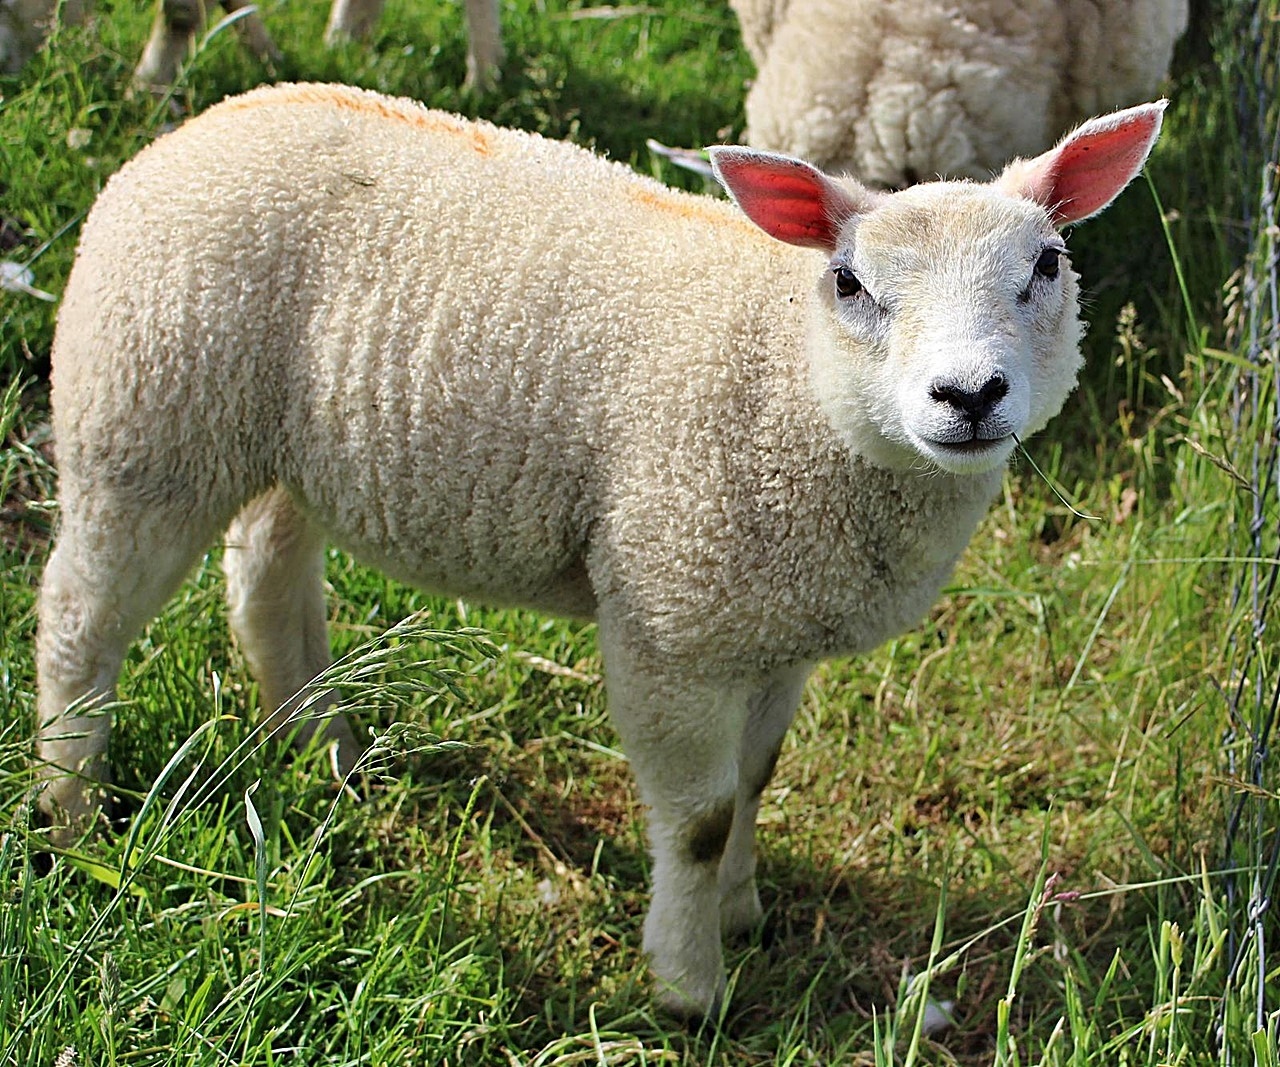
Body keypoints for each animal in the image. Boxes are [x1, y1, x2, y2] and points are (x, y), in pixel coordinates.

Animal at [34, 82, 1165, 1016]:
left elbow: (757, 777)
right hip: (145, 413)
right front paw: (690, 984)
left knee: (265, 576)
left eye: (1046, 265)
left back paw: (324, 748)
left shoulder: (774, 624)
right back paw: (73, 814)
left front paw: (744, 911)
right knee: (78, 621)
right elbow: (701, 816)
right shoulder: (676, 617)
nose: (968, 395)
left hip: (283, 446)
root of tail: (198, 127)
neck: (791, 385)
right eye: (849, 283)